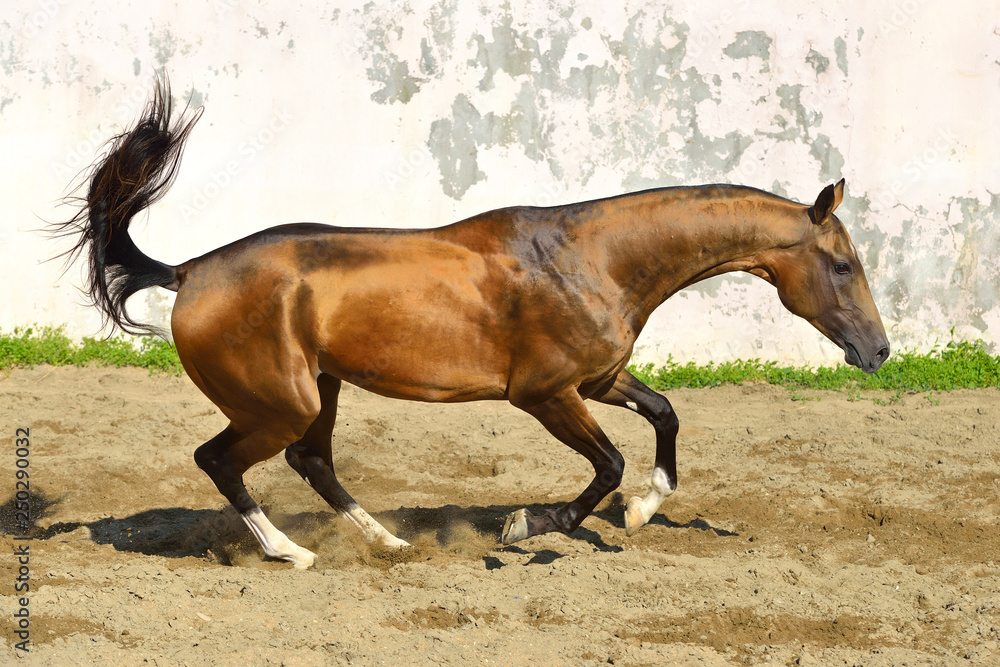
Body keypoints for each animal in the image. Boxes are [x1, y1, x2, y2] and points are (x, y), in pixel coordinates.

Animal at [55, 76, 889, 569]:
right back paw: (291, 552)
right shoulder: (545, 393)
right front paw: (529, 525)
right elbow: (608, 463)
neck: (592, 257)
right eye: (843, 265)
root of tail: (188, 271)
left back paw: (388, 541)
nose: (879, 350)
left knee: (311, 460)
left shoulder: (599, 378)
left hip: (319, 389)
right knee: (220, 459)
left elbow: (665, 415)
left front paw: (644, 510)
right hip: (279, 400)